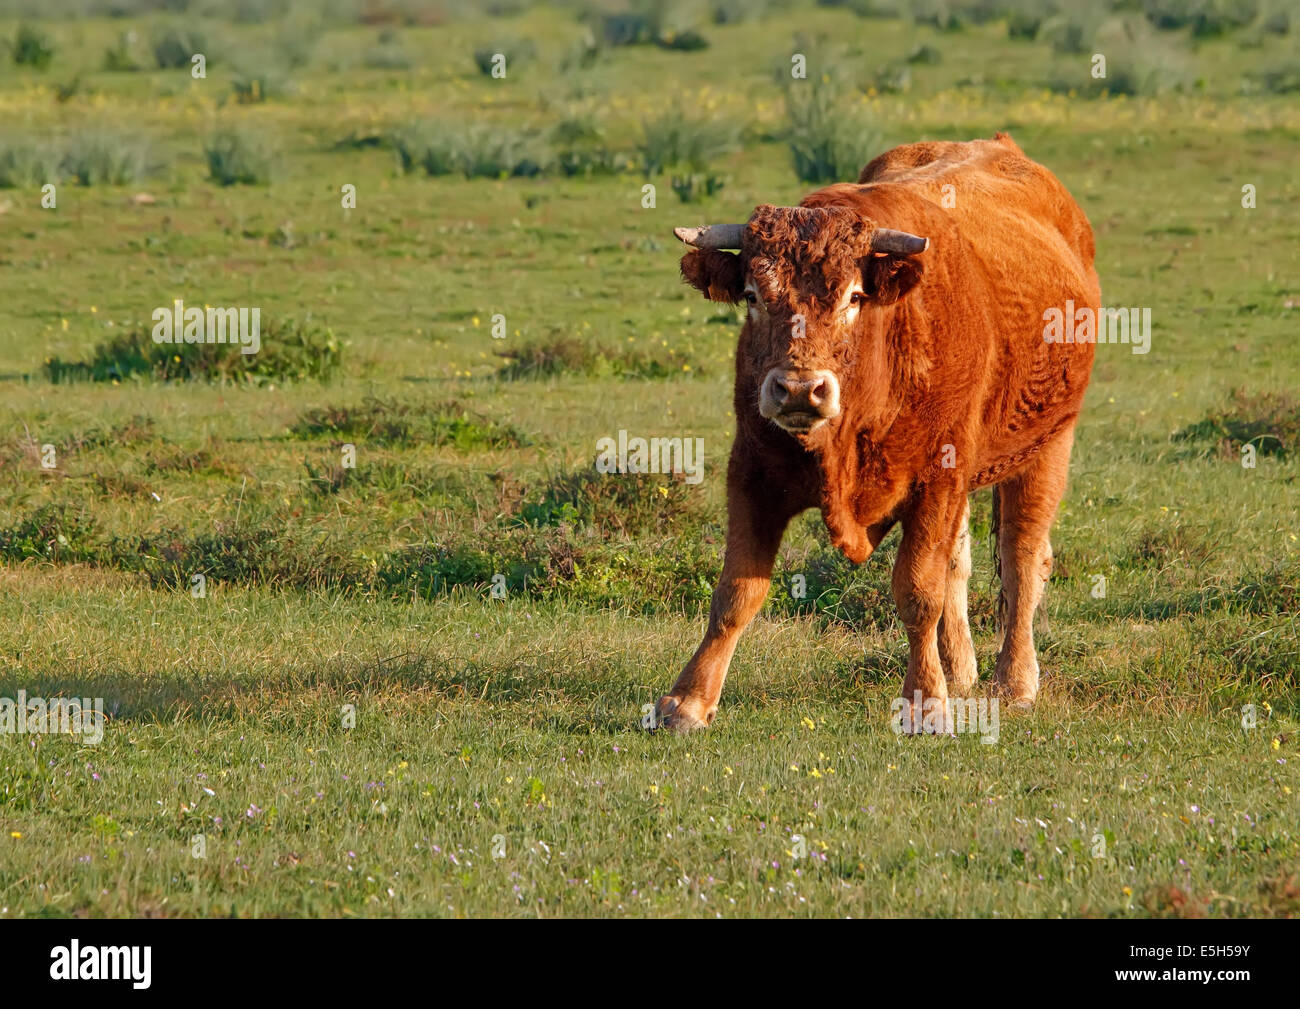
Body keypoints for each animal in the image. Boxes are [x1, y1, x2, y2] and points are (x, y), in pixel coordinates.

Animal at [654, 133, 1099, 733]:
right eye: (751, 295)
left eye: (854, 297)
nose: (799, 390)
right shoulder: (751, 474)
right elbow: (736, 592)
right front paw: (688, 700)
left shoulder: (937, 479)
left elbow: (918, 591)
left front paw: (925, 702)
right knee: (961, 563)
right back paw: (960, 671)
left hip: (1046, 446)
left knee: (1022, 558)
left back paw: (1014, 681)